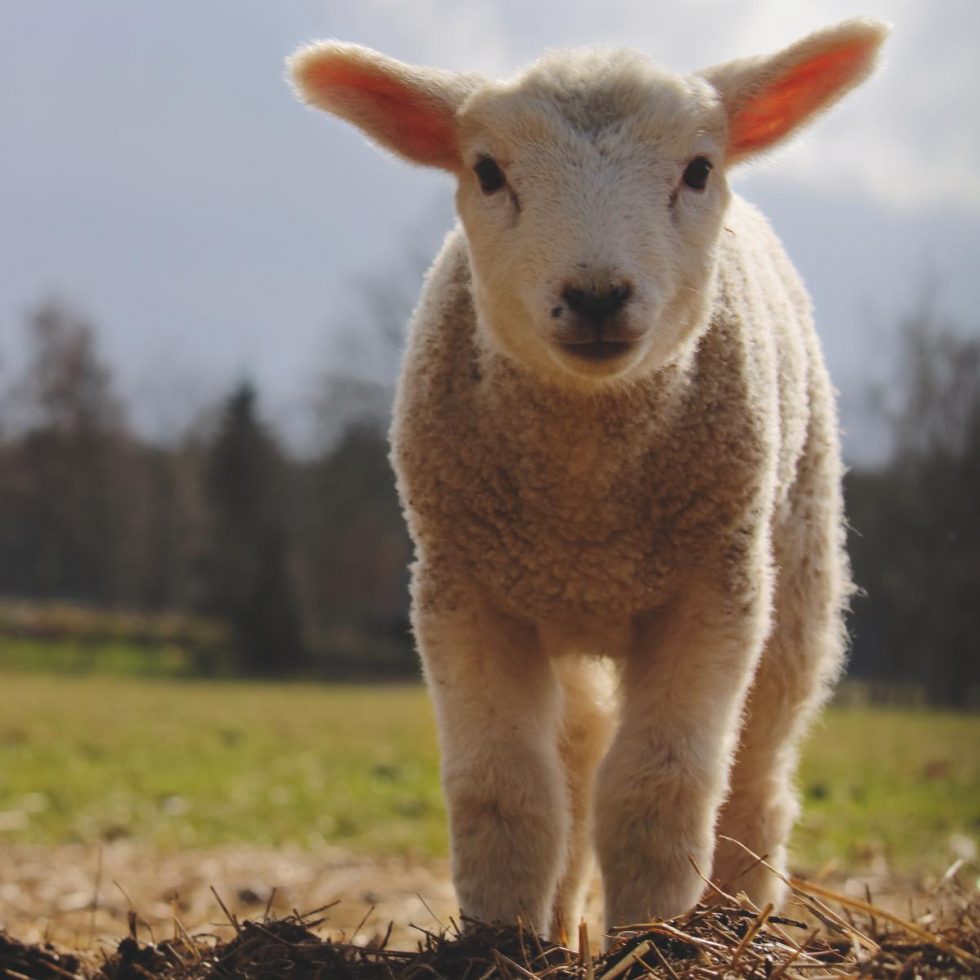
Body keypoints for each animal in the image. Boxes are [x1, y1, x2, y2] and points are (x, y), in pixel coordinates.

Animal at [288, 18, 889, 937]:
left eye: (698, 169)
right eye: (488, 171)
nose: (598, 295)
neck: (586, 496)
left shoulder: (713, 591)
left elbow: (658, 790)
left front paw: (653, 939)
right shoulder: (465, 593)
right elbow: (505, 793)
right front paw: (498, 937)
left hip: (797, 572)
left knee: (757, 774)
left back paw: (734, 923)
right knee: (573, 764)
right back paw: (561, 925)